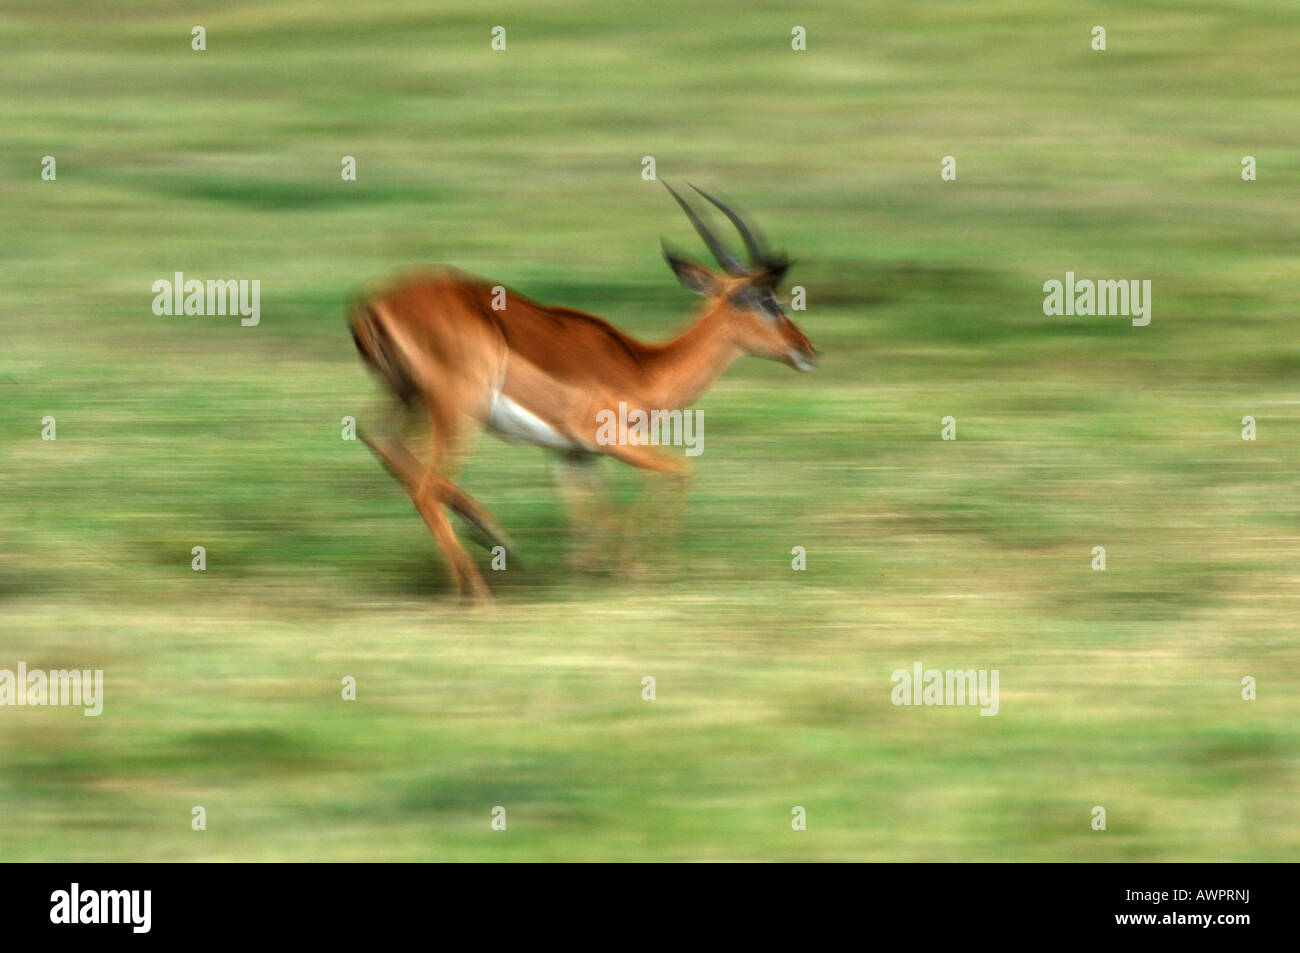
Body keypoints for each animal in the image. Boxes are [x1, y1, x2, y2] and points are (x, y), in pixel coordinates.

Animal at [351, 182, 819, 600]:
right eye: (769, 302)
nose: (809, 350)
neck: (644, 368)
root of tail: (371, 304)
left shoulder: (573, 455)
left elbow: (597, 519)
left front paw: (595, 571)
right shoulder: (609, 439)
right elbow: (680, 472)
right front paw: (646, 569)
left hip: (407, 397)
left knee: (379, 440)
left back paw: (494, 539)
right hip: (459, 409)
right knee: (424, 486)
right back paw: (478, 593)